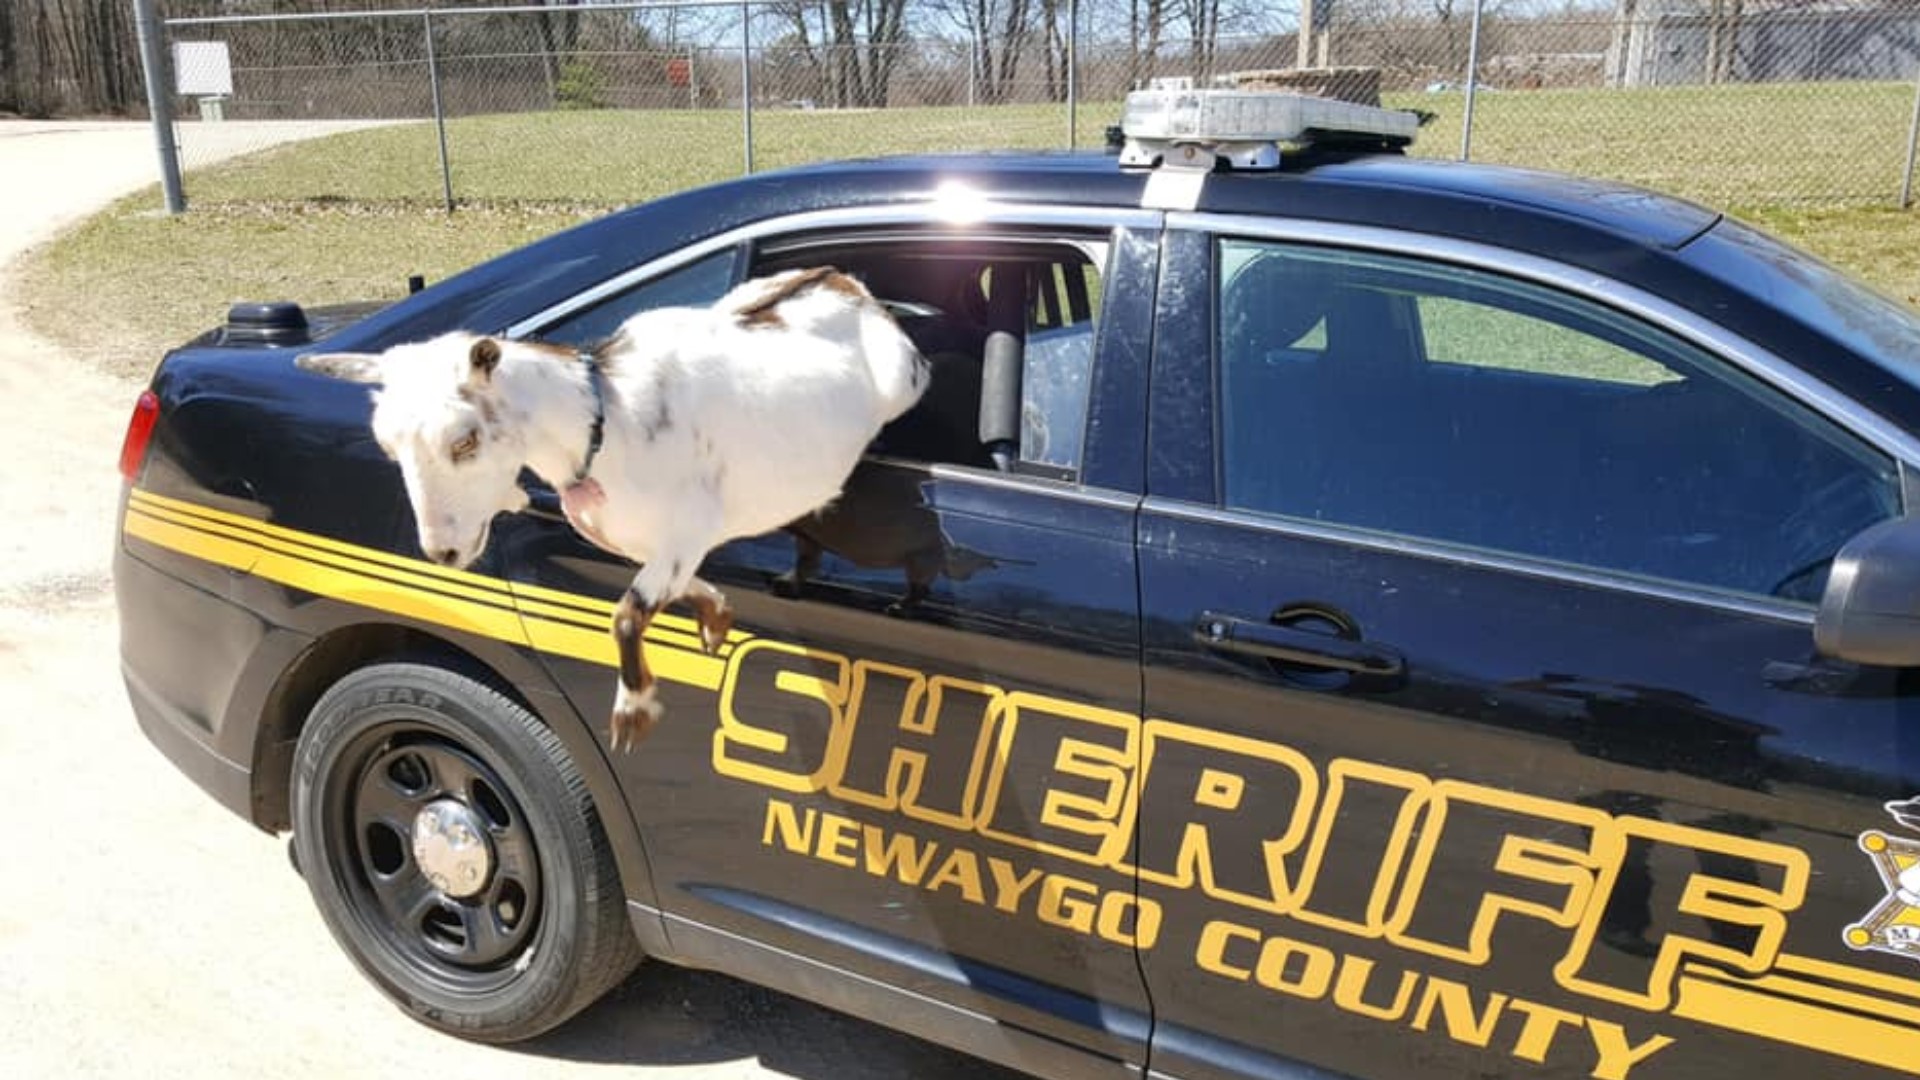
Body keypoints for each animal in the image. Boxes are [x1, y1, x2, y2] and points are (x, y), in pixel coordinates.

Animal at [298, 267, 930, 749]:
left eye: (465, 440)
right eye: (387, 445)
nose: (443, 550)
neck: (605, 423)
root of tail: (841, 281)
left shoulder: (688, 529)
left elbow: (625, 614)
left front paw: (634, 711)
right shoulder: (641, 542)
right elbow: (668, 591)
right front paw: (716, 615)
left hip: (907, 377)